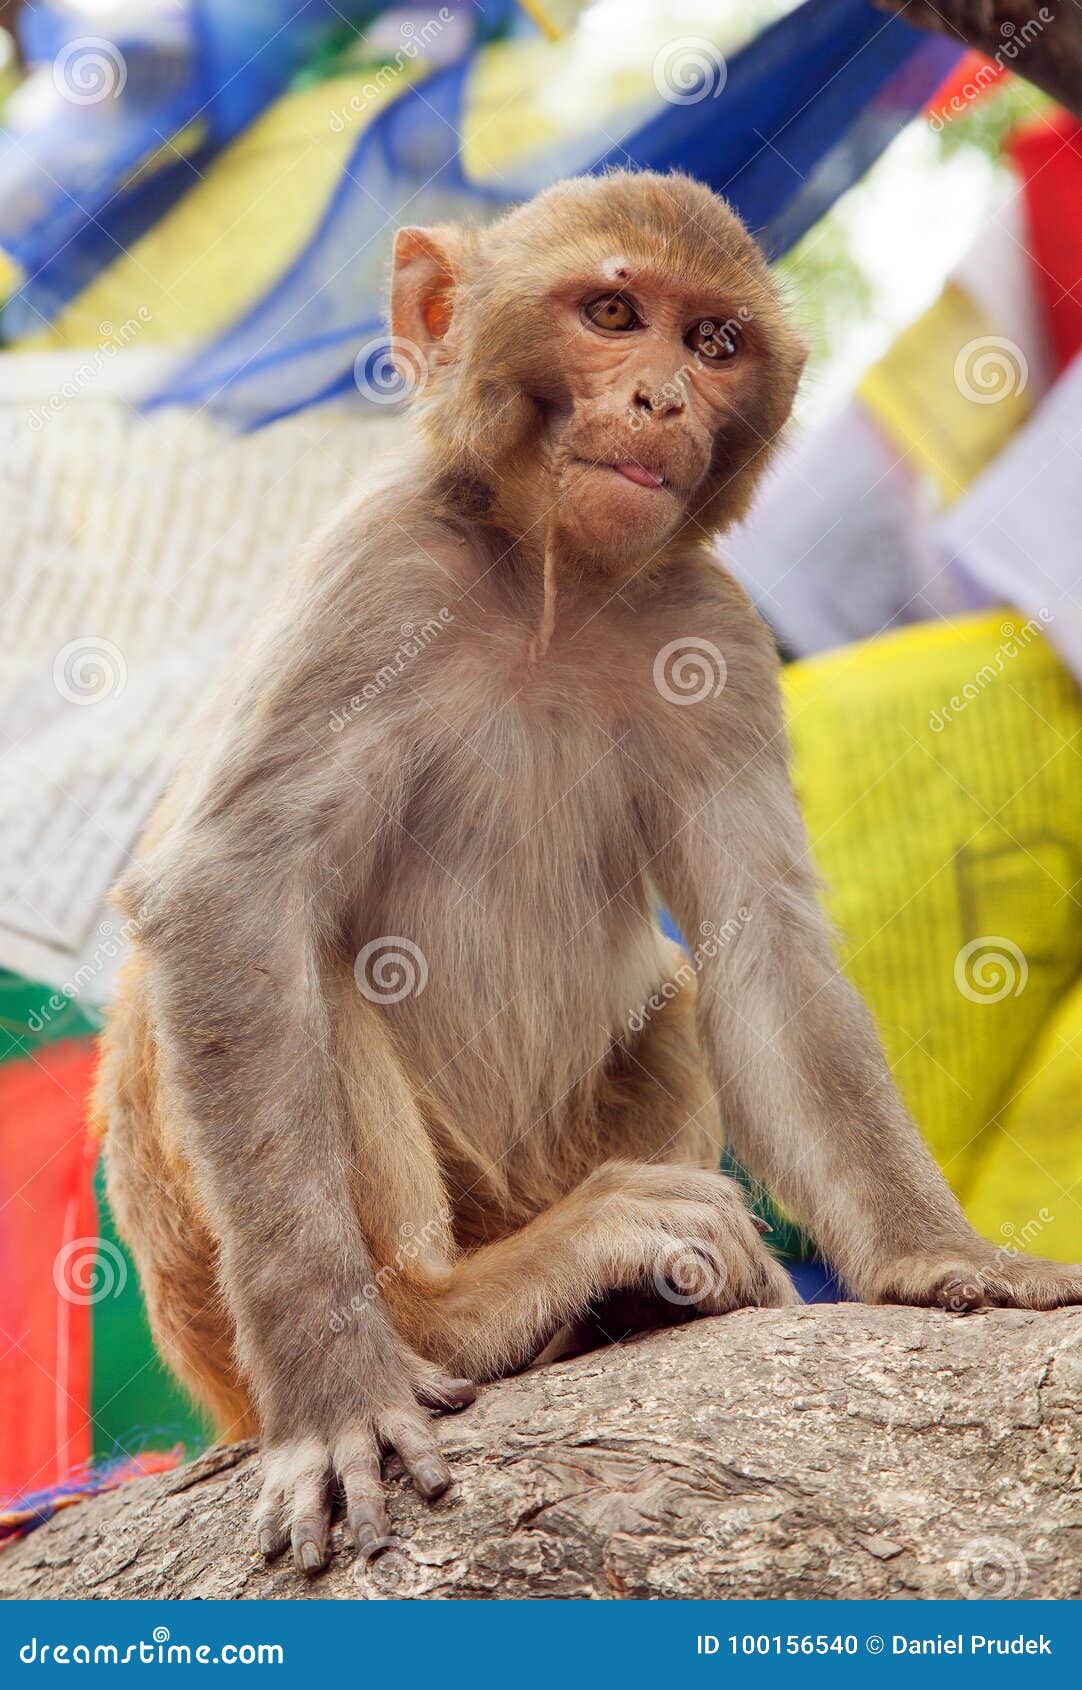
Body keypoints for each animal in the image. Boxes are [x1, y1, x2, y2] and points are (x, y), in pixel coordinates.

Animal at [93, 169, 1082, 1578]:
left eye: (711, 342)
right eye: (612, 314)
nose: (660, 398)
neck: (546, 582)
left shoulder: (712, 628)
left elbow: (757, 946)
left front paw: (936, 1256)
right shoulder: (377, 567)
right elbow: (226, 888)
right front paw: (336, 1390)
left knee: (668, 991)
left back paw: (617, 1308)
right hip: (220, 1309)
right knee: (295, 962)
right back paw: (450, 1310)